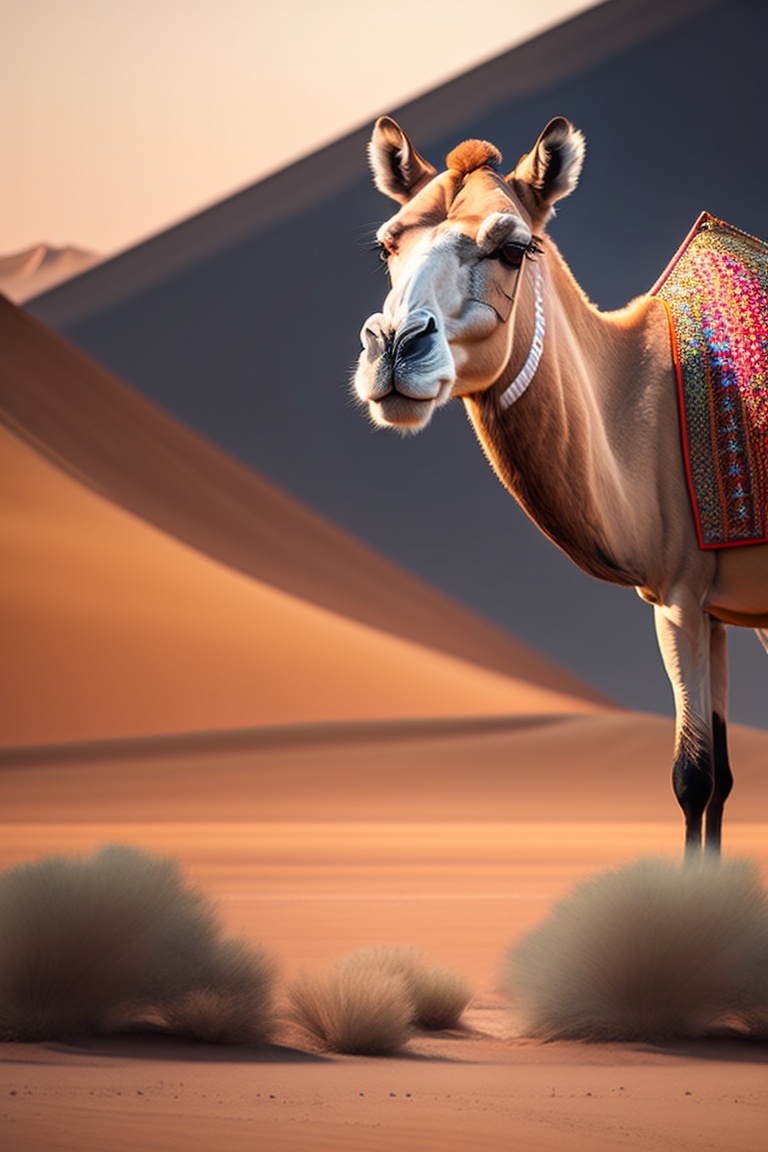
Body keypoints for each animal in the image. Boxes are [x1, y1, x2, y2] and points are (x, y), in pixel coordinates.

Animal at [353, 115, 768, 856]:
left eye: (513, 247)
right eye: (386, 245)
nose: (394, 347)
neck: (648, 407)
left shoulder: (681, 600)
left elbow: (691, 778)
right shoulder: (714, 606)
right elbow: (719, 779)